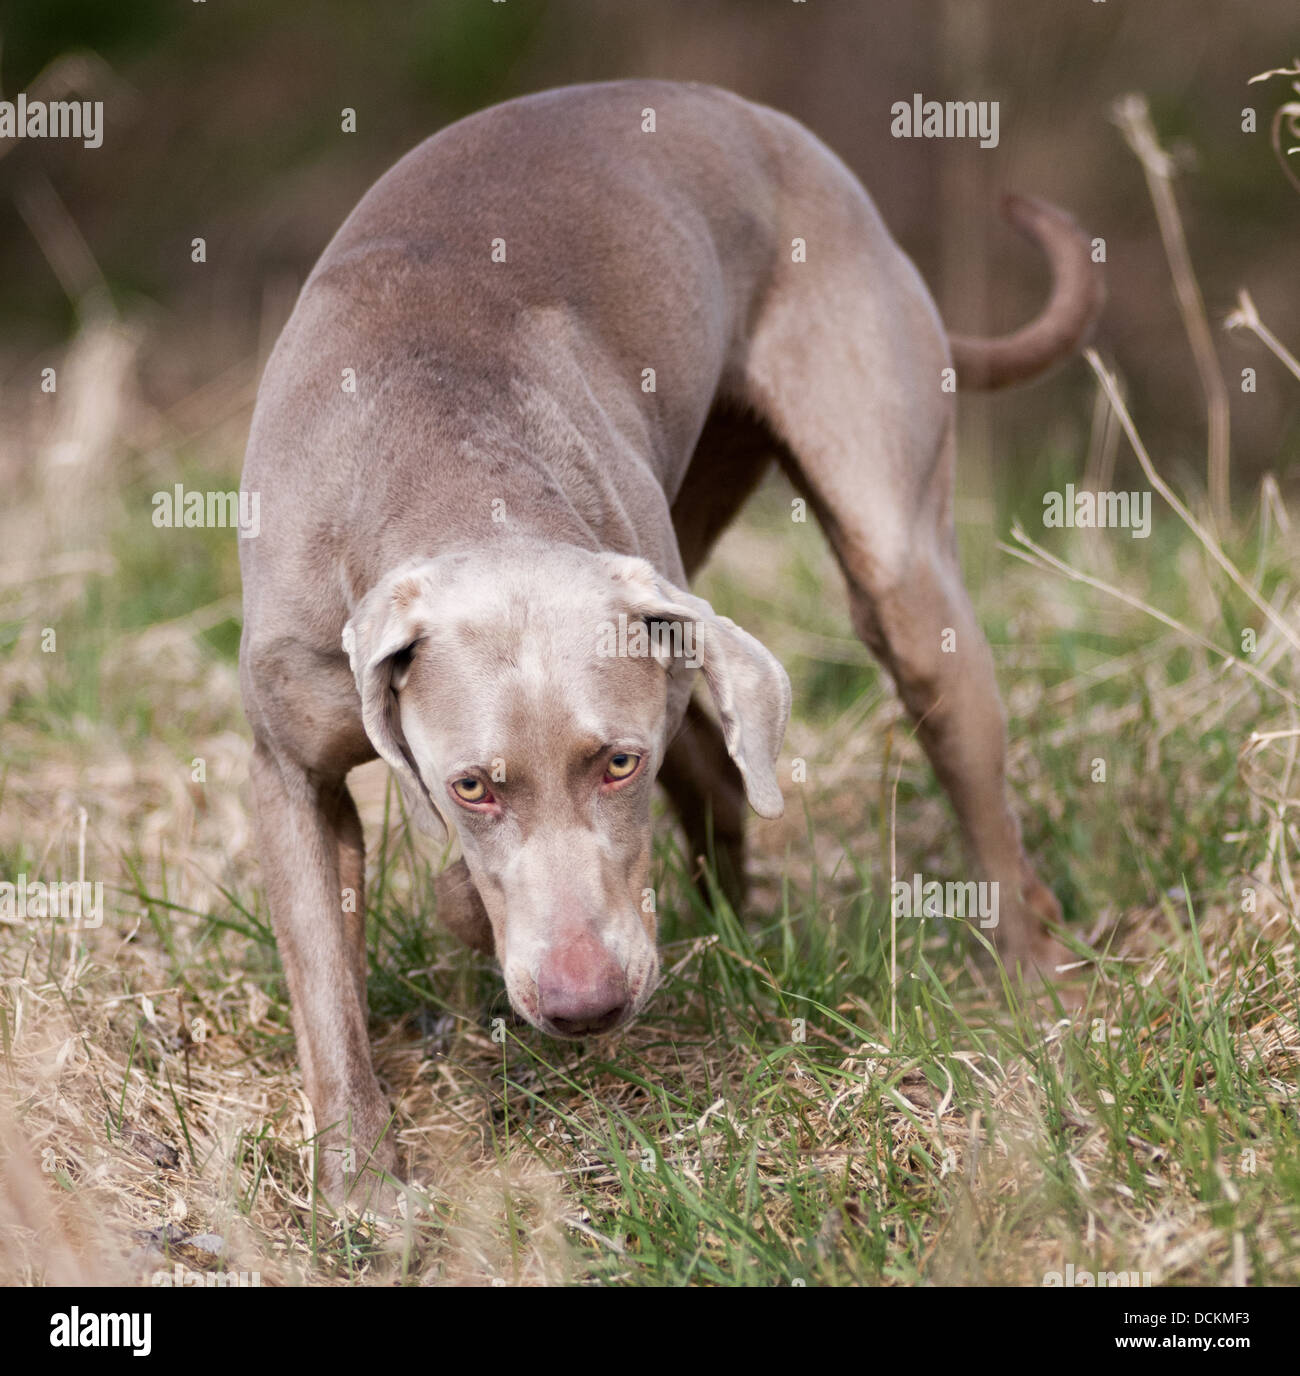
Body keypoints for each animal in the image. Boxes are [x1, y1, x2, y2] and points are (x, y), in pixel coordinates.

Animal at [237, 80, 1100, 1210]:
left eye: (617, 763)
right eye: (473, 784)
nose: (587, 1004)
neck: (435, 444)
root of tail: (749, 113)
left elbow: (475, 892)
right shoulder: (290, 771)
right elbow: (328, 988)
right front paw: (359, 1184)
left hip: (894, 565)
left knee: (961, 773)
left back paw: (1035, 976)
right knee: (719, 773)